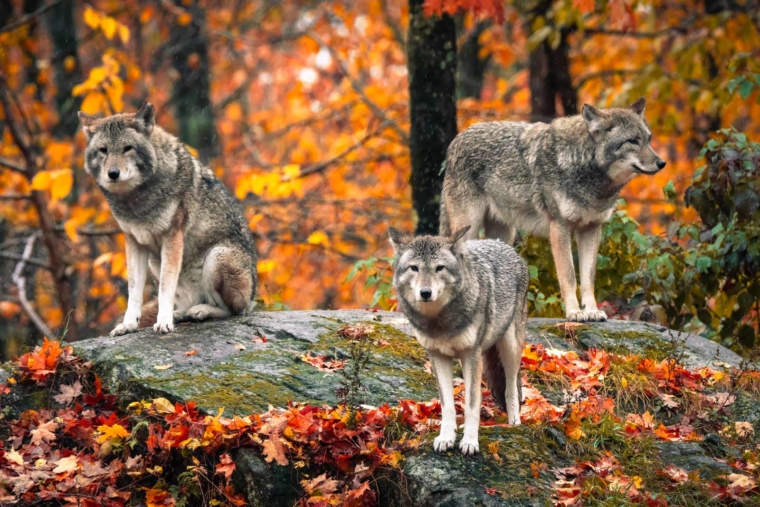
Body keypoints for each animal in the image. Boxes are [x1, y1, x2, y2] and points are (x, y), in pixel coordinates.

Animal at [78, 102, 257, 336]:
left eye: (127, 148)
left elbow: (165, 287)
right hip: (156, 263)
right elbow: (134, 290)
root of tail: (252, 297)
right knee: (187, 305)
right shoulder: (134, 241)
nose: (113, 173)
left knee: (233, 311)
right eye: (104, 150)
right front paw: (128, 324)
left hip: (217, 256)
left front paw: (163, 322)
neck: (136, 202)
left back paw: (200, 311)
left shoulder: (172, 236)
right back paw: (181, 313)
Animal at [389, 226, 529, 455]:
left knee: (511, 388)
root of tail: (505, 245)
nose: (425, 293)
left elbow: (472, 405)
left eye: (439, 268)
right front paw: (446, 438)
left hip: (510, 349)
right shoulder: (438, 356)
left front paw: (470, 442)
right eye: (414, 268)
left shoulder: (471, 355)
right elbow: (448, 405)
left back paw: (514, 423)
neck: (440, 322)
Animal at [440, 98, 666, 322]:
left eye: (648, 139)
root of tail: (455, 141)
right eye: (632, 141)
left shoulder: (592, 228)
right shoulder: (559, 227)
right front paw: (574, 312)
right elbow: (568, 275)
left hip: (503, 235)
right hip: (468, 228)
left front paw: (592, 311)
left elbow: (588, 278)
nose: (662, 163)